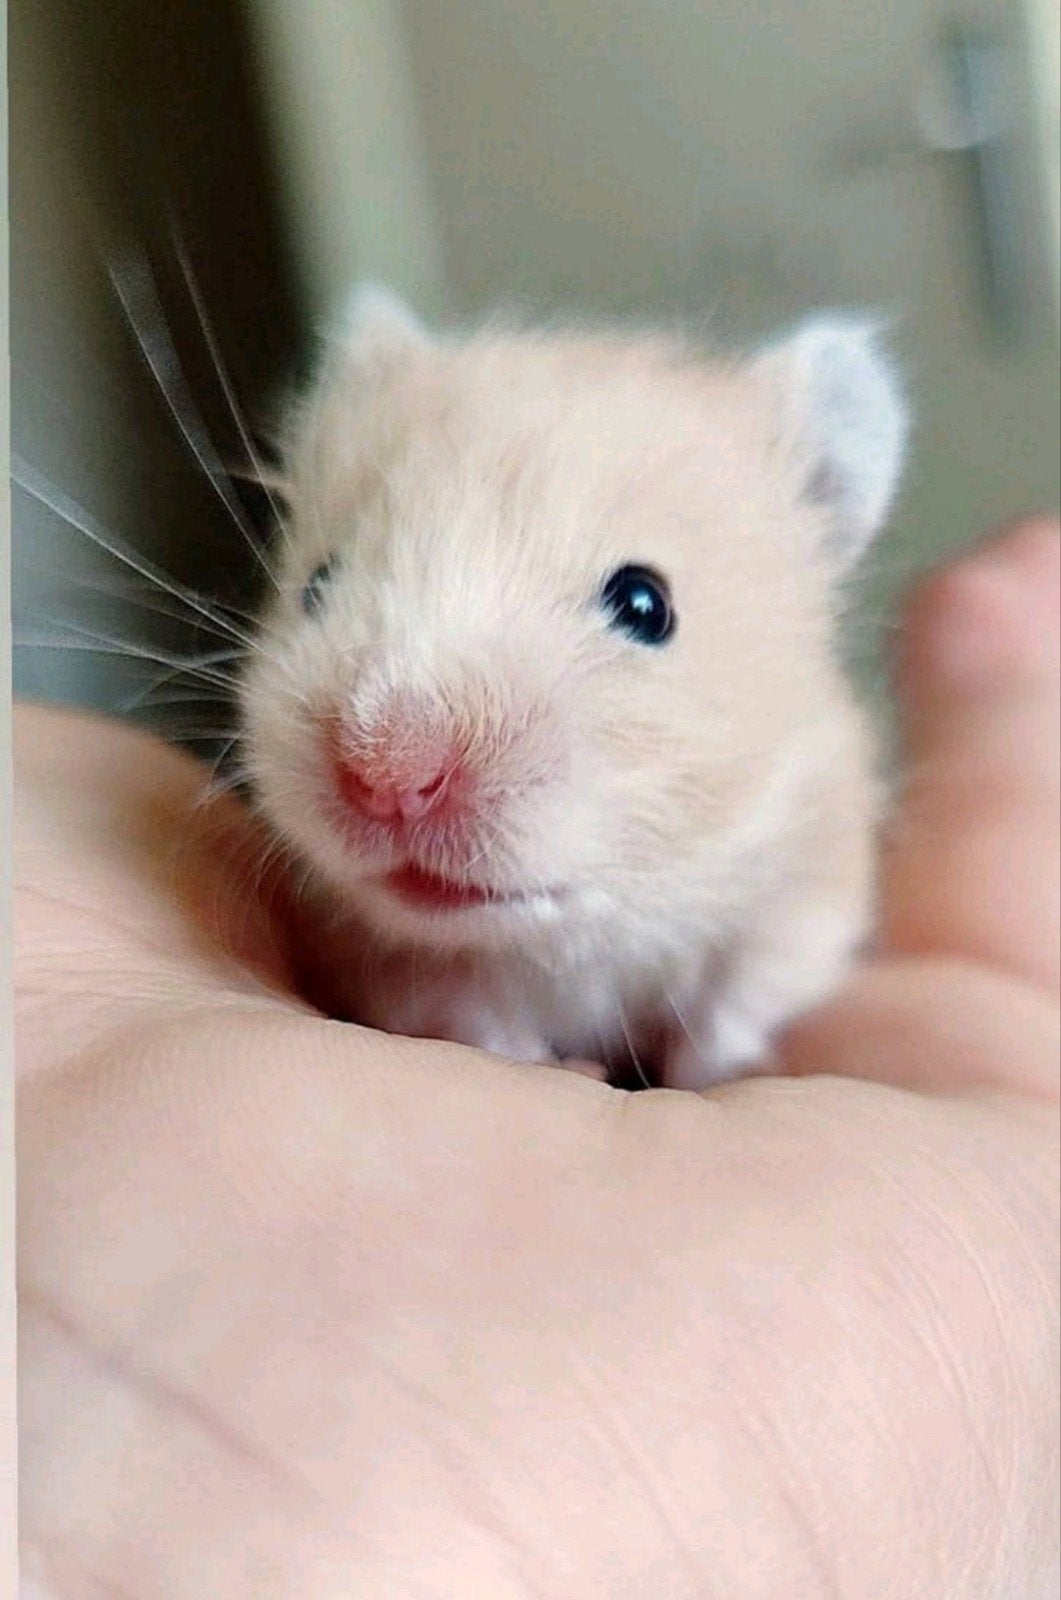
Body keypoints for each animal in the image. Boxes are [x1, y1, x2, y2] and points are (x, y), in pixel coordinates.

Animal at [239, 289, 906, 1089]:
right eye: (318, 583)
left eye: (647, 605)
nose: (387, 780)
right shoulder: (376, 960)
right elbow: (456, 1001)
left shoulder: (809, 877)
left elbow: (742, 998)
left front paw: (709, 1067)